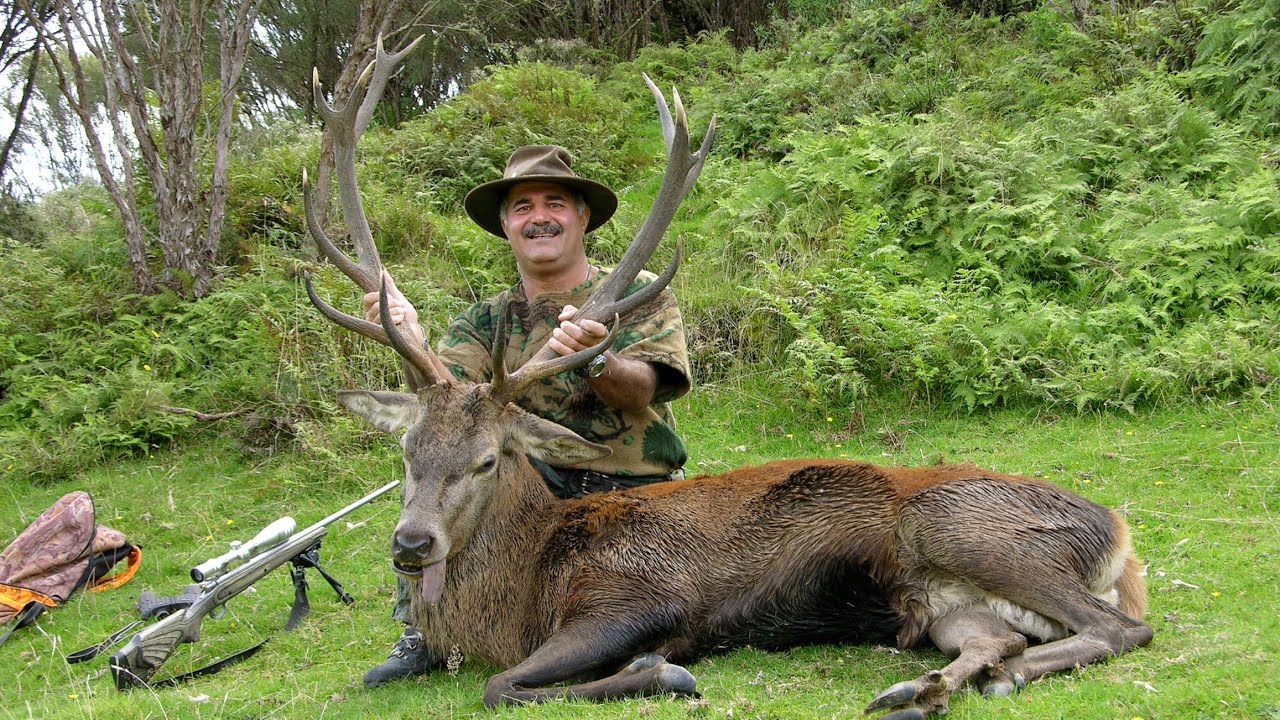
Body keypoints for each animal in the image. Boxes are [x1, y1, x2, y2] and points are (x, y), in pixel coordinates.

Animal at [302, 39, 1153, 719]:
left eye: (487, 459)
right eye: (406, 452)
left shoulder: (635, 596)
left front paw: (663, 673)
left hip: (960, 528)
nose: (411, 544)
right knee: (1001, 638)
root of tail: (1119, 534)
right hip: (948, 605)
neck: (525, 591)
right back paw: (923, 687)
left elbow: (502, 684)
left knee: (1122, 627)